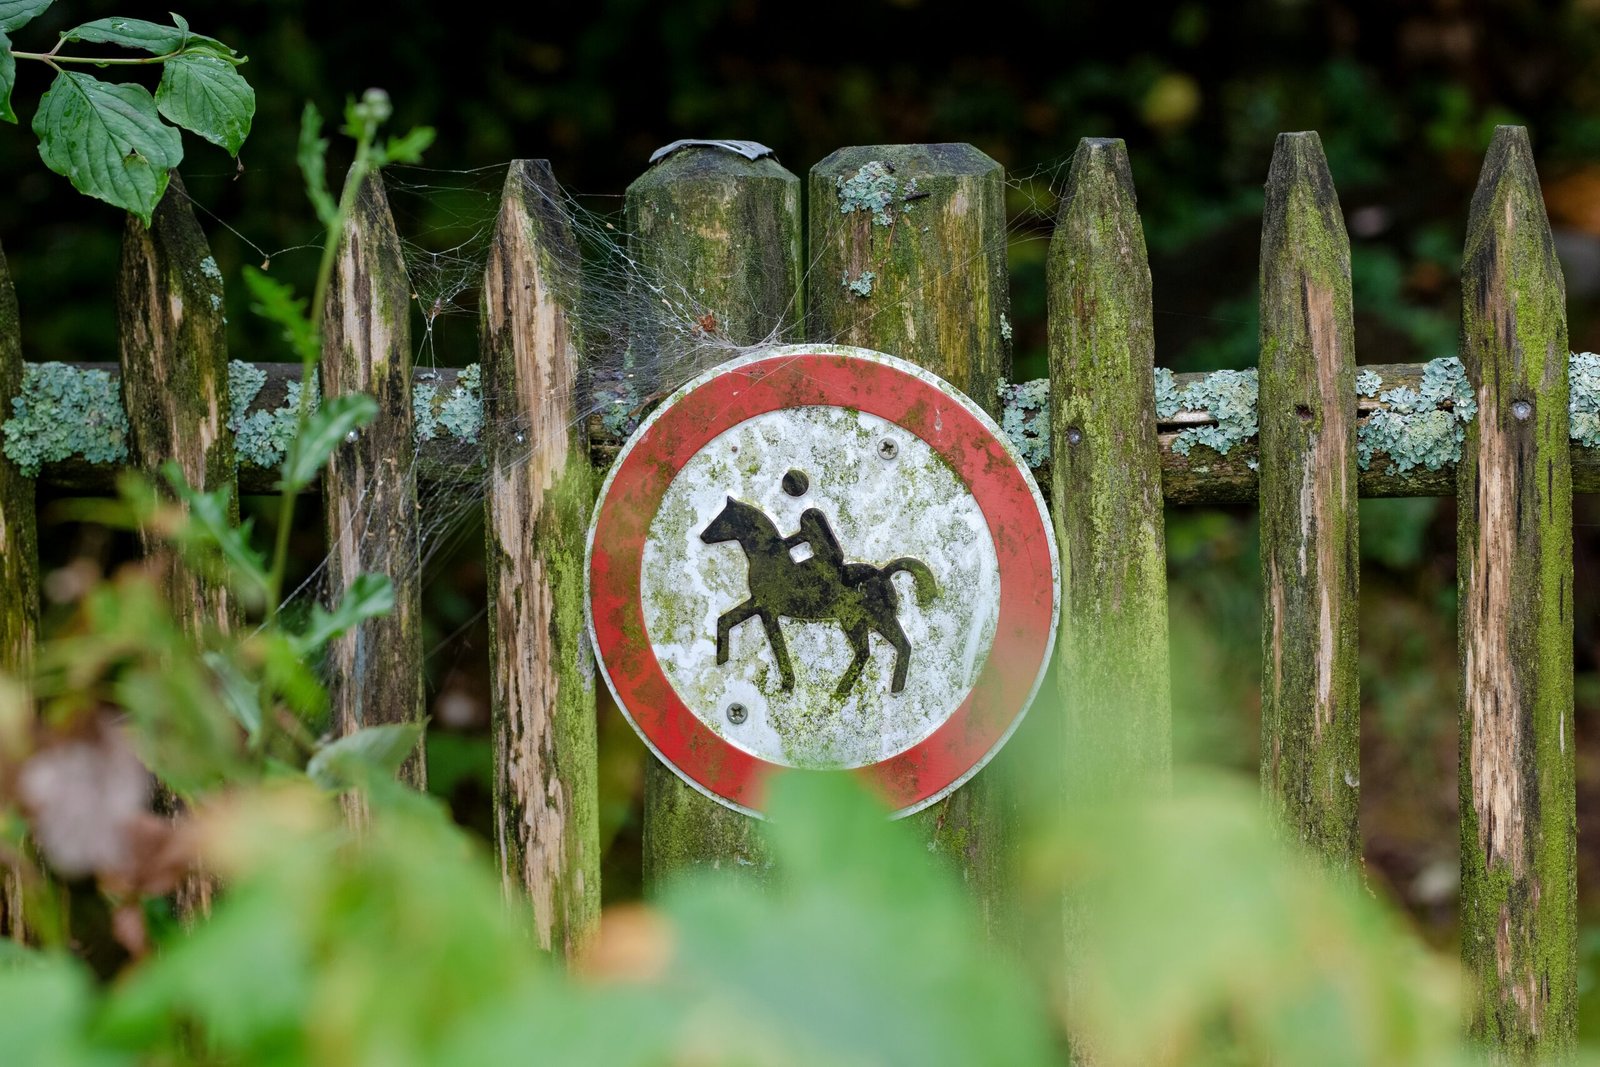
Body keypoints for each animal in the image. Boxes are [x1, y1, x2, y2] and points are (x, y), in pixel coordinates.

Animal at [699, 496, 937, 699]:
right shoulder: (758, 605)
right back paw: (871, 688)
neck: (768, 557)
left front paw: (787, 681)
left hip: (861, 619)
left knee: (875, 649)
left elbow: (776, 643)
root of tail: (884, 573)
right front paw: (722, 657)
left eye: (722, 518)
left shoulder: (765, 608)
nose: (702, 536)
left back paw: (847, 689)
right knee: (890, 647)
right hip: (871, 619)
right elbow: (726, 619)